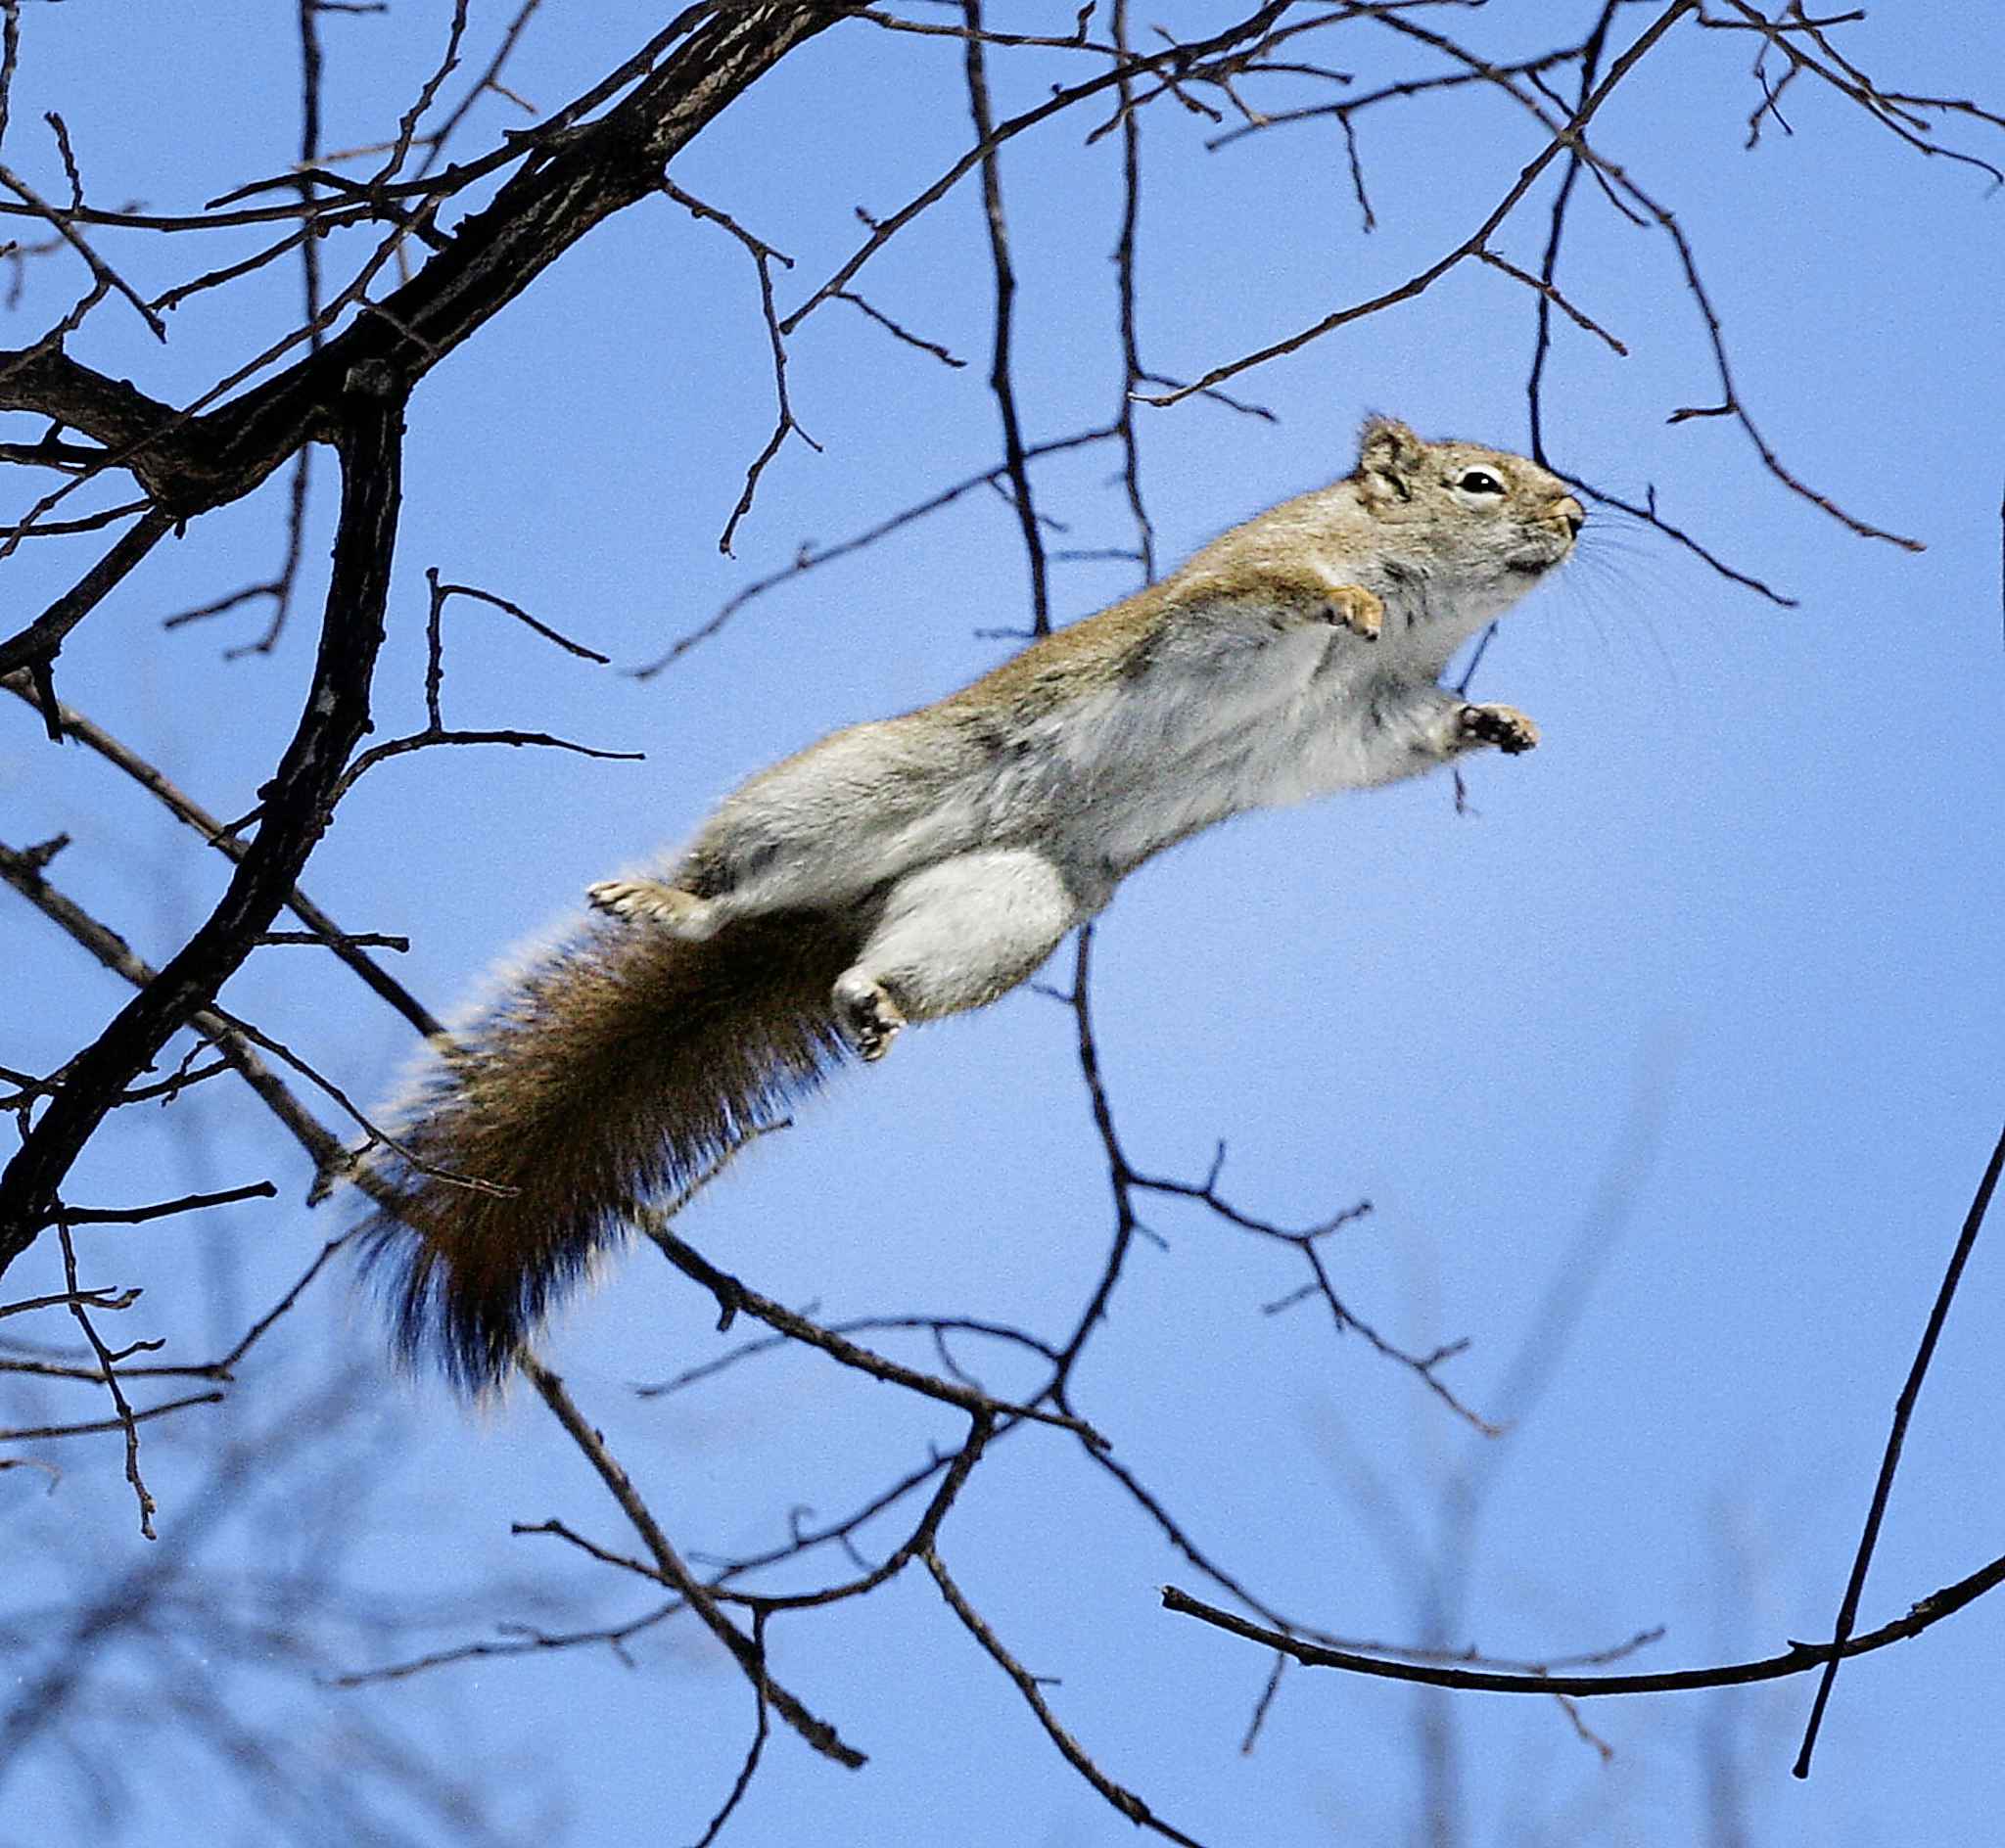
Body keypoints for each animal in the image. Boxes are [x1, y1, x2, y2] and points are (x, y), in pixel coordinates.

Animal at [358, 416, 1584, 1392]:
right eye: (1478, 481)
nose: (1575, 514)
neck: (1413, 607)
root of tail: (832, 917)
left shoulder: (1361, 720)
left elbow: (1402, 738)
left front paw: (1496, 722)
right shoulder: (1240, 586)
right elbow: (1268, 589)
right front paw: (1344, 597)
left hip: (1012, 901)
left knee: (883, 960)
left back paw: (871, 997)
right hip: (856, 784)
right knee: (732, 886)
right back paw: (673, 901)